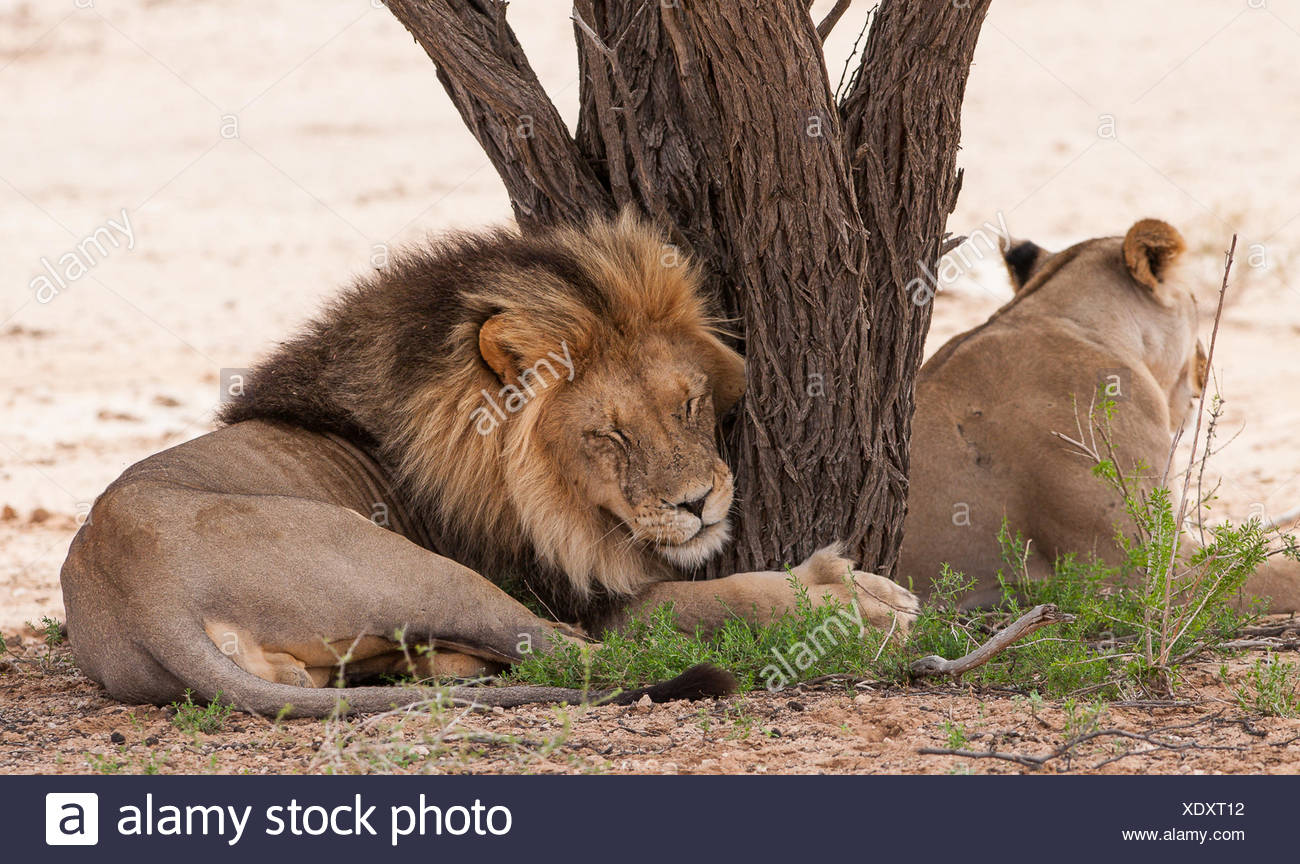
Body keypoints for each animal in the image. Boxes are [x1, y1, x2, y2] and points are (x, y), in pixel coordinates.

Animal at [60, 211, 919, 717]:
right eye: (609, 436)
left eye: (688, 405)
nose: (699, 502)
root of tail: (143, 602)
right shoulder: (555, 581)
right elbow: (703, 597)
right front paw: (857, 600)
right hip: (412, 568)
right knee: (594, 650)